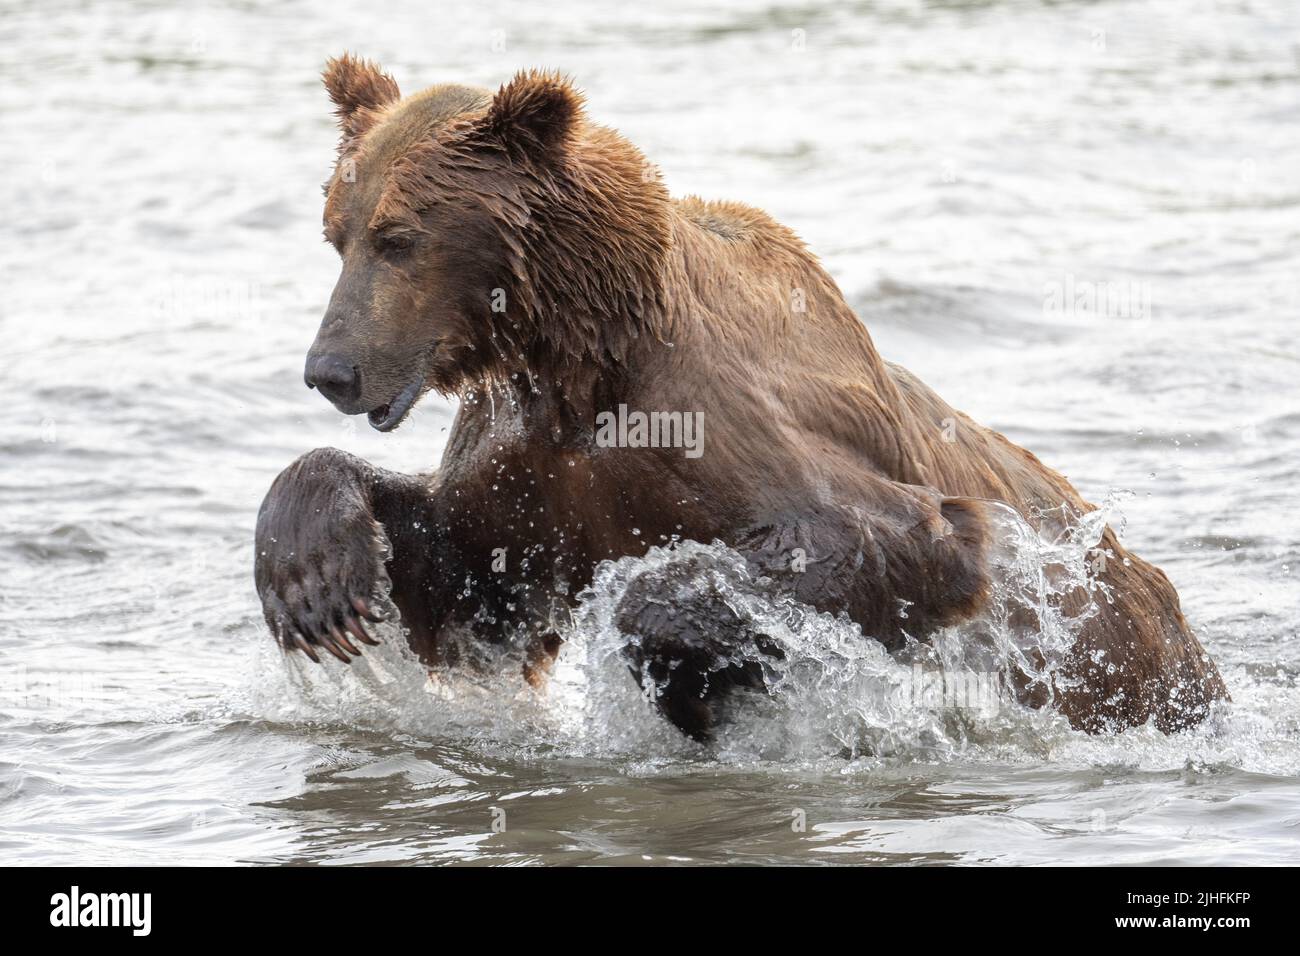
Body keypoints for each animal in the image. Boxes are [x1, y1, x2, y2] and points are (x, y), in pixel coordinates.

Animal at [253, 54, 1228, 742]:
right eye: (336, 233)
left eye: (400, 237)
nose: (329, 369)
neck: (588, 354)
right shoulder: (531, 467)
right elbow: (461, 571)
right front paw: (316, 584)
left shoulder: (731, 416)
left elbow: (884, 535)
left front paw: (680, 662)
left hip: (1111, 649)